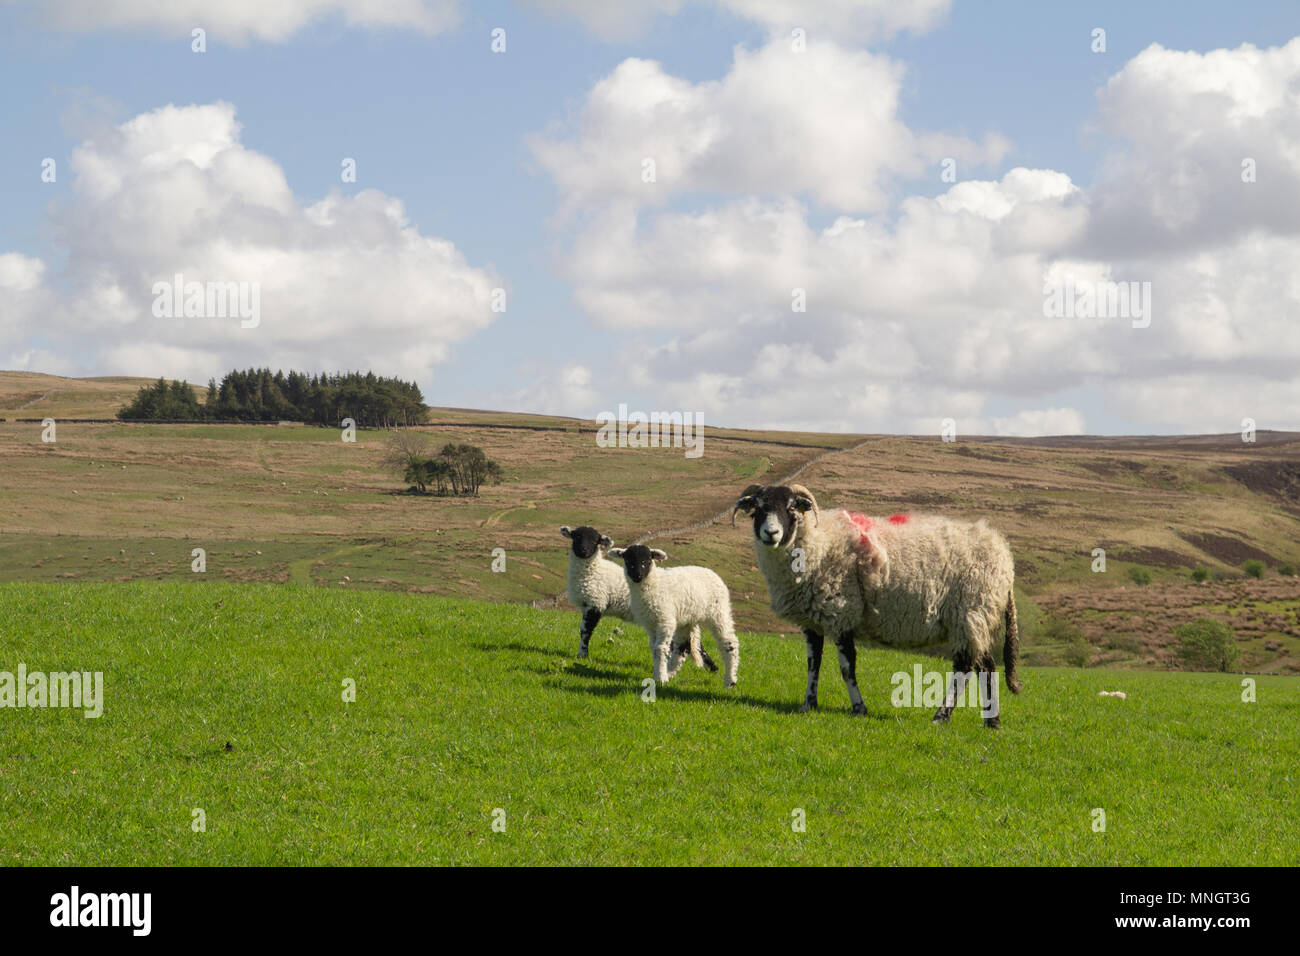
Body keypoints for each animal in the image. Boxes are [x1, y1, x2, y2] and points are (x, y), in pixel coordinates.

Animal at [559, 526, 715, 672]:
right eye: (576, 537)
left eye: (594, 541)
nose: (583, 550)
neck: (594, 571)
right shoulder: (587, 605)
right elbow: (583, 629)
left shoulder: (596, 602)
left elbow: (585, 630)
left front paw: (582, 654)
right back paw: (711, 669)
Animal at [607, 544, 739, 688]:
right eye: (627, 560)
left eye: (647, 560)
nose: (637, 575)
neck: (654, 584)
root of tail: (713, 574)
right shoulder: (650, 624)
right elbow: (654, 648)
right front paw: (658, 675)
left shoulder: (665, 620)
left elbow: (660, 648)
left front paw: (660, 678)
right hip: (686, 620)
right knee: (683, 647)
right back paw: (669, 672)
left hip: (718, 612)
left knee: (729, 642)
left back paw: (730, 681)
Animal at [731, 483, 1021, 728]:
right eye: (757, 508)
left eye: (791, 507)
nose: (771, 533)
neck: (818, 542)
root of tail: (1004, 556)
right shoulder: (813, 621)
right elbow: (813, 664)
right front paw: (808, 704)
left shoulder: (841, 612)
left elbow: (847, 667)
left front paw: (859, 708)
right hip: (978, 617)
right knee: (986, 666)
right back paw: (991, 722)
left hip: (969, 611)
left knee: (965, 667)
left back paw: (941, 717)